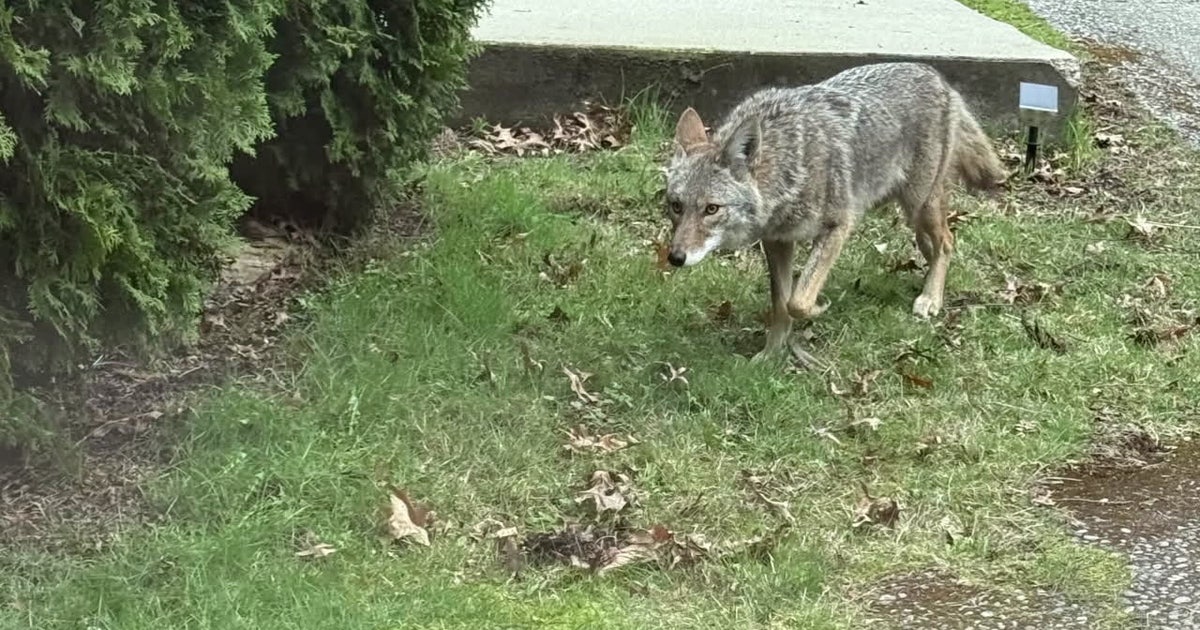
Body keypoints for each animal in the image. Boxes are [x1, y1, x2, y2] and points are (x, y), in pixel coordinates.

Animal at [662, 62, 1007, 361]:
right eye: (676, 206)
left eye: (711, 209)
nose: (675, 257)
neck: (789, 165)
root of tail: (935, 75)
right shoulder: (777, 241)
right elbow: (781, 304)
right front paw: (770, 355)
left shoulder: (839, 227)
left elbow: (798, 300)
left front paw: (819, 307)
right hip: (914, 215)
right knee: (933, 246)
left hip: (921, 206)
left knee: (947, 242)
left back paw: (931, 298)